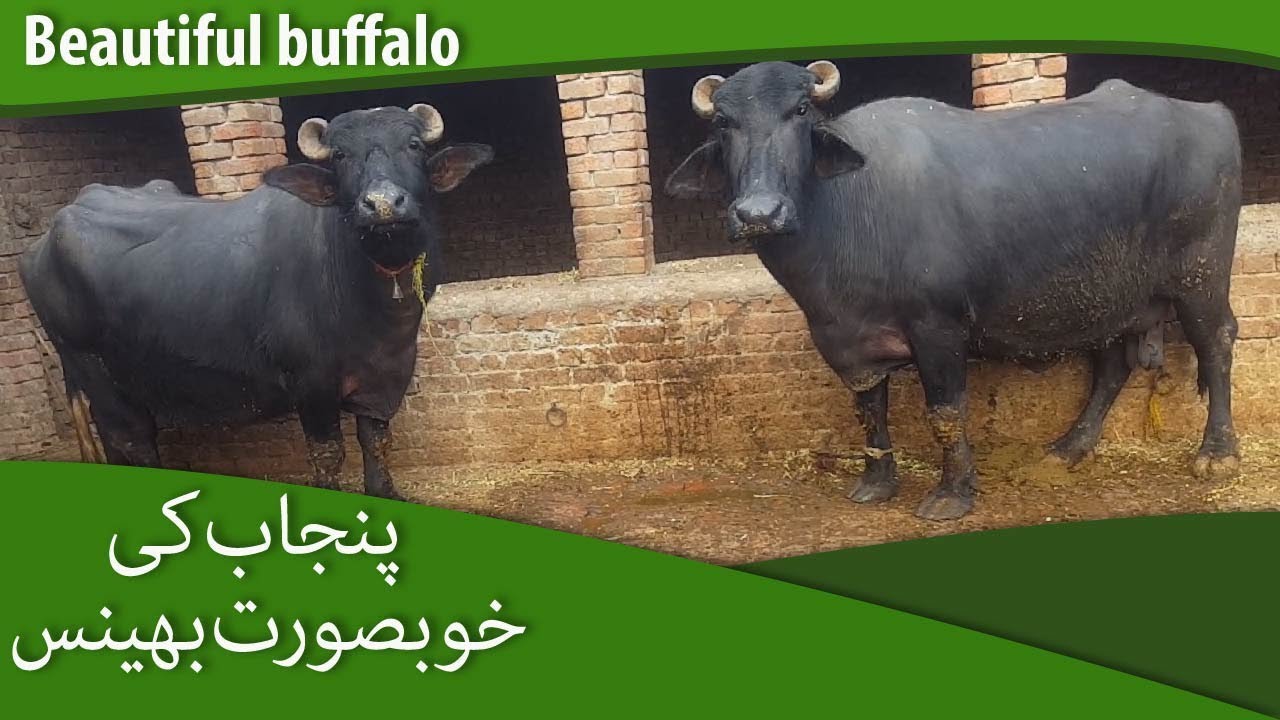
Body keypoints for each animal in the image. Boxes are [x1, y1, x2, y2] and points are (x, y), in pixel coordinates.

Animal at [20, 104, 492, 499]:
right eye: (341, 156)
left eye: (413, 145)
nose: (382, 205)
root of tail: (38, 248)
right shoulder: (312, 386)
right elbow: (328, 454)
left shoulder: (385, 378)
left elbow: (376, 442)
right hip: (94, 370)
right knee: (133, 440)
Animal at [665, 61, 1242, 520]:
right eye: (723, 122)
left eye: (801, 109)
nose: (758, 214)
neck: (850, 213)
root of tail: (1213, 114)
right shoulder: (848, 343)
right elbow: (868, 412)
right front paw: (876, 483)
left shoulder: (937, 329)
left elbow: (944, 414)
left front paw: (952, 493)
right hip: (1107, 298)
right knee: (1113, 366)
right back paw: (1066, 450)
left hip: (1201, 278)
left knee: (1216, 344)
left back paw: (1218, 454)